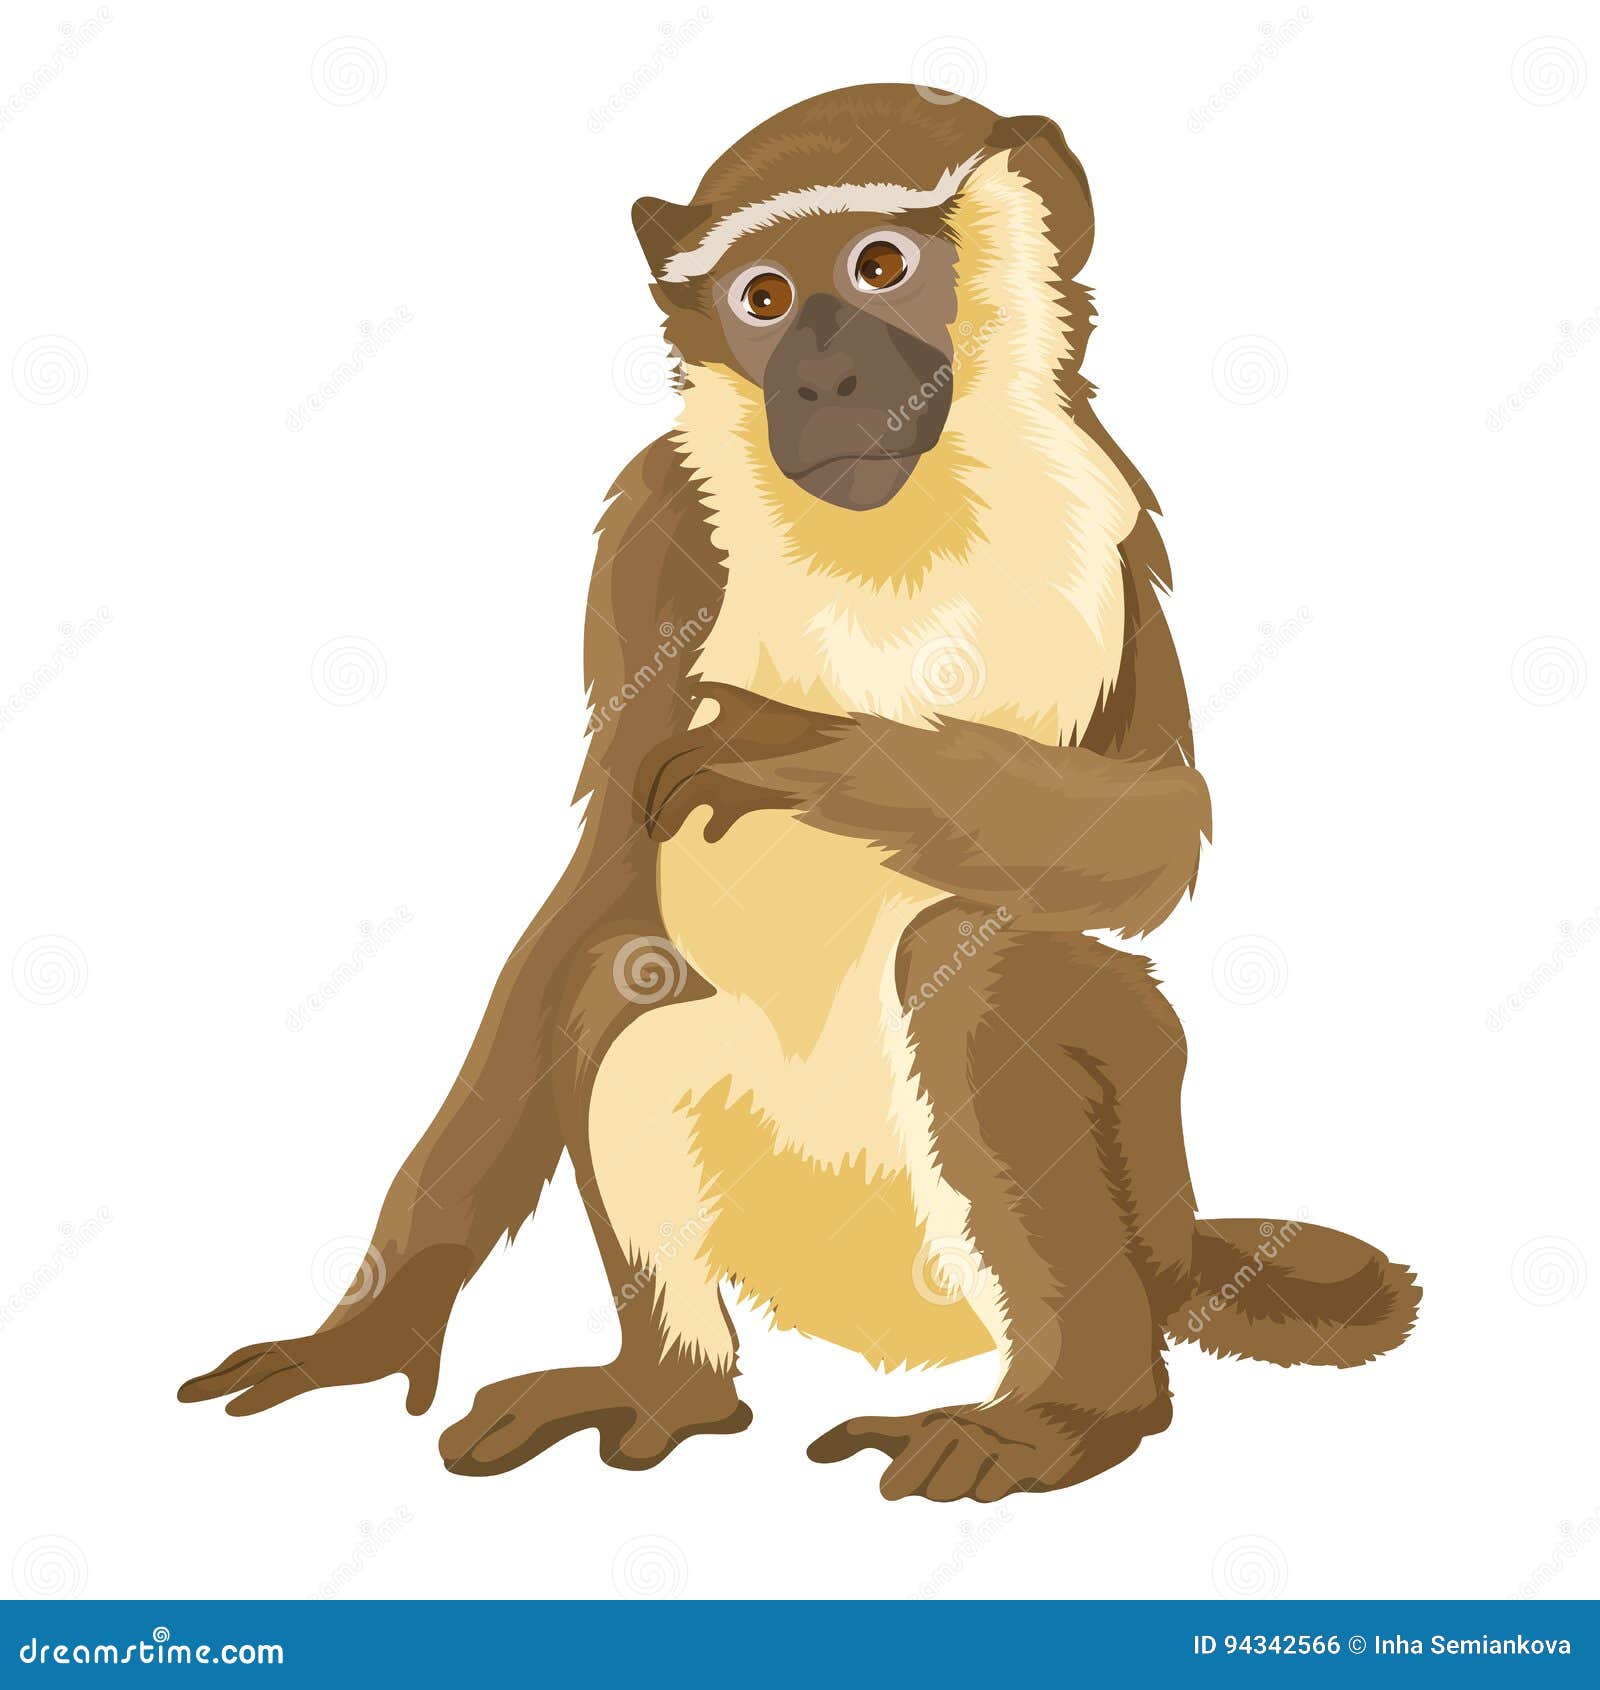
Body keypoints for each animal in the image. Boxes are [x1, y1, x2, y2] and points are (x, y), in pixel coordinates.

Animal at [179, 85, 1420, 1501]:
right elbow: (601, 883)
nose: (821, 378)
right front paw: (373, 1323)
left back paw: (1063, 1414)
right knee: (623, 982)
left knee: (981, 972)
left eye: (880, 267)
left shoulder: (1113, 521)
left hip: (1132, 1176)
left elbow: (1157, 829)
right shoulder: (657, 521)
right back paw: (668, 1388)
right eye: (762, 297)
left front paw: (813, 754)